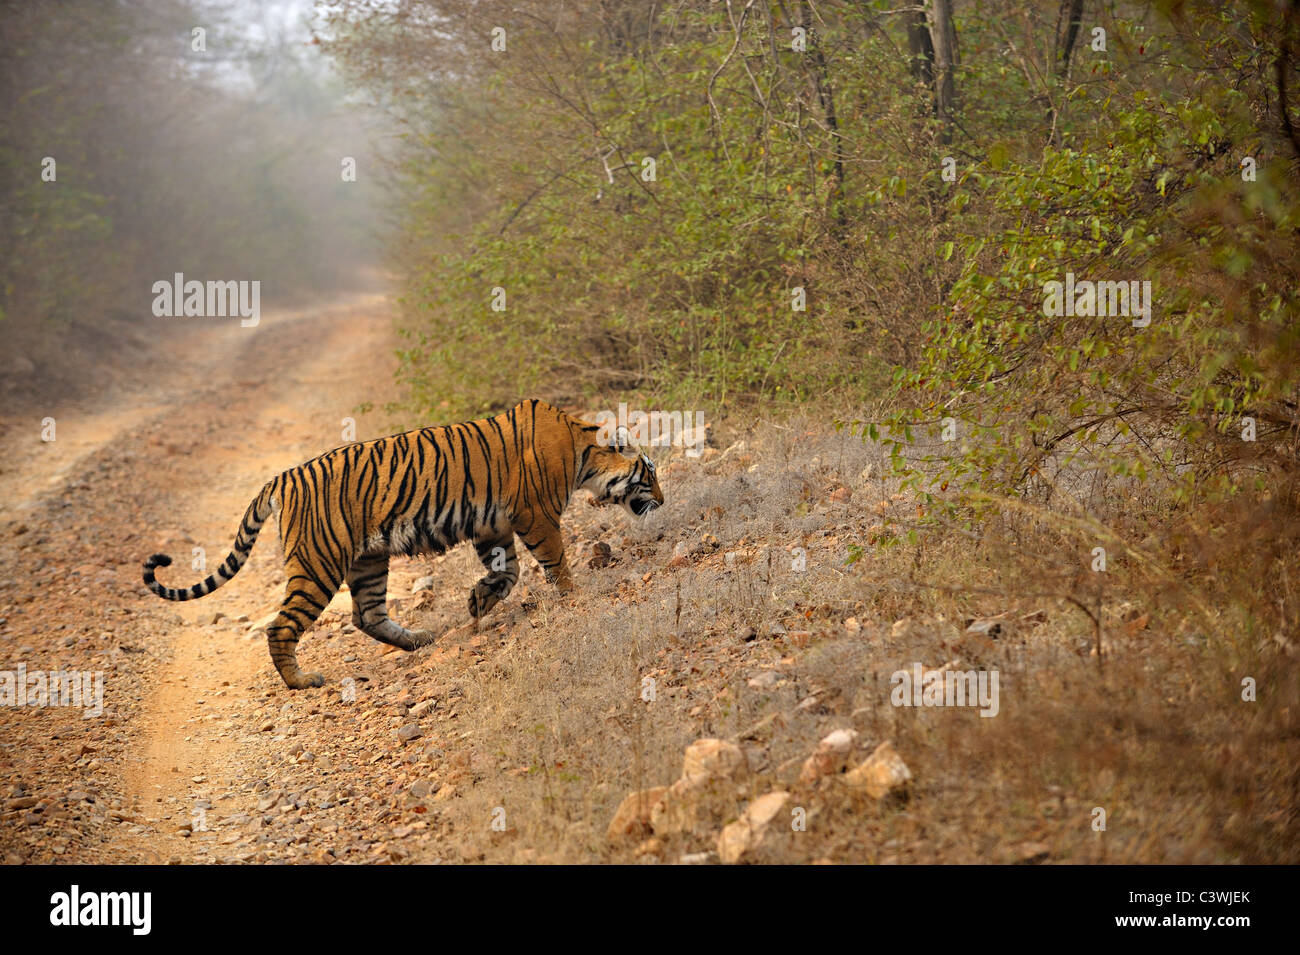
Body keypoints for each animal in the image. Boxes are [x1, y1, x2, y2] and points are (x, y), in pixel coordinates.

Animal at [141, 399, 664, 689]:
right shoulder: (534, 516)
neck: (582, 453)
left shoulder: (493, 526)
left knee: (367, 615)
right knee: (281, 626)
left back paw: (418, 640)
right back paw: (301, 682)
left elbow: (507, 571)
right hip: (318, 563)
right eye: (650, 472)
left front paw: (478, 602)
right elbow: (555, 562)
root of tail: (282, 477)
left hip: (368, 560)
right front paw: (575, 598)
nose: (662, 499)